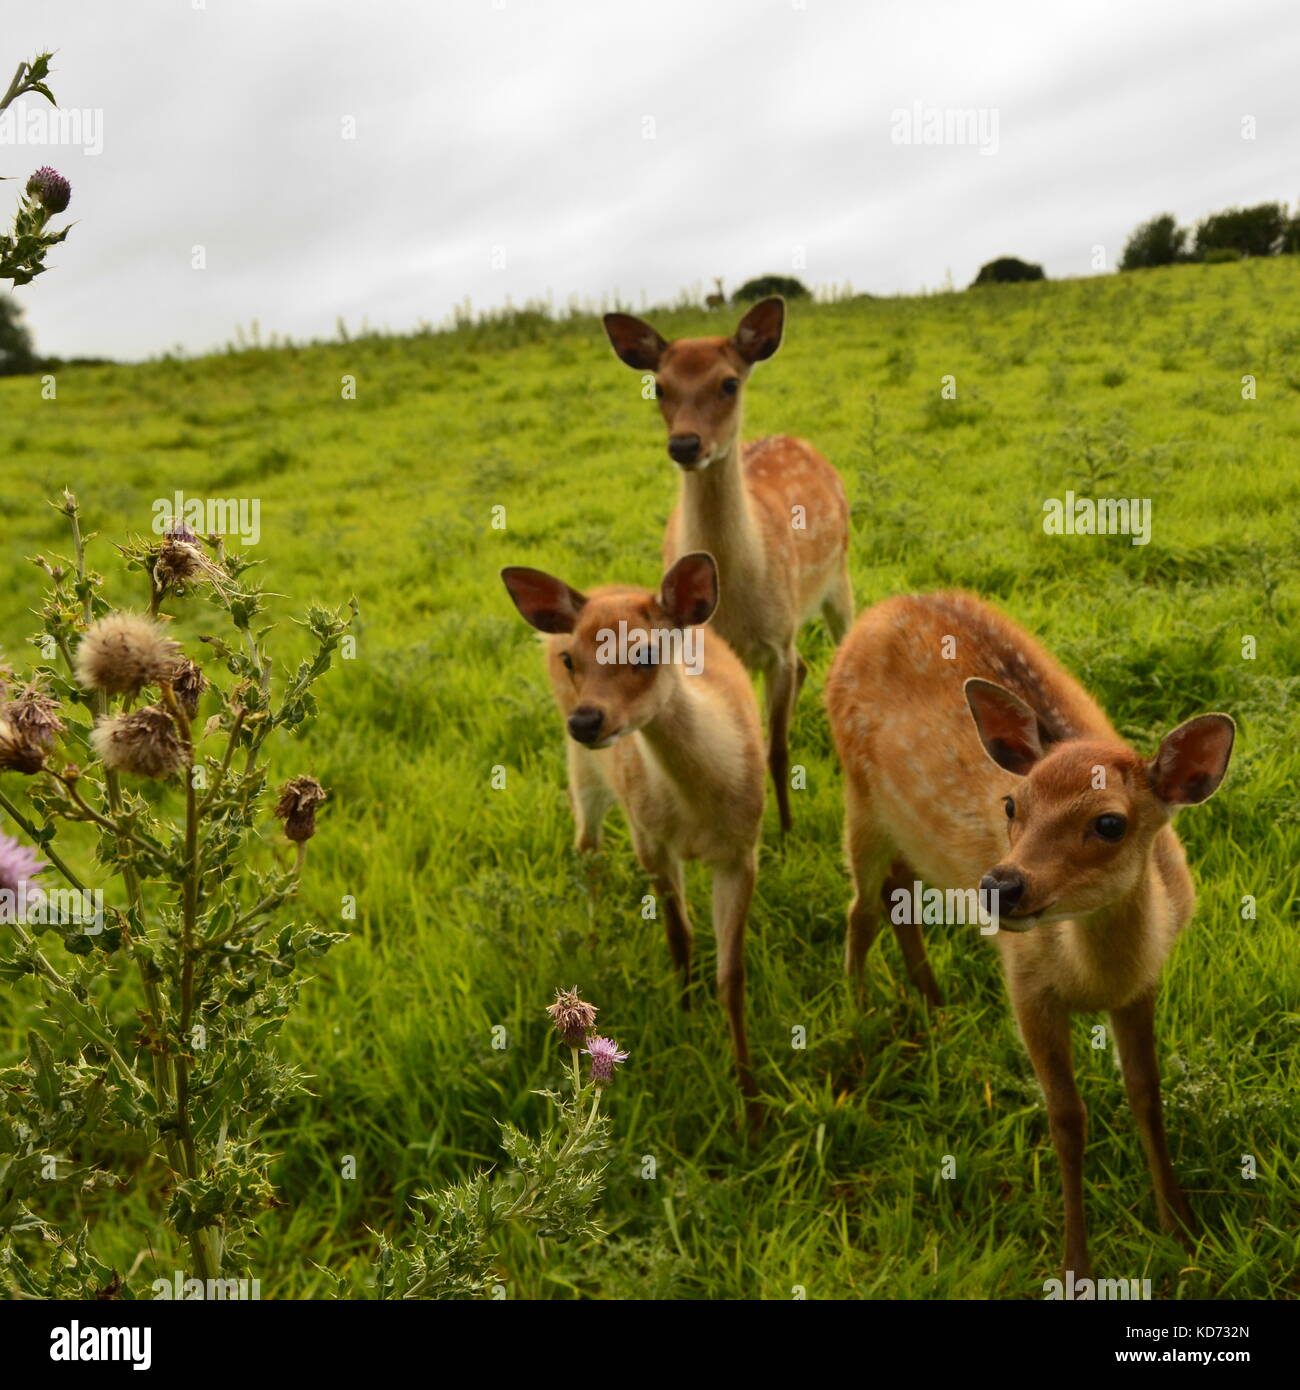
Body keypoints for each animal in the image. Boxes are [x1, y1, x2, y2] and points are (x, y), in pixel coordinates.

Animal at [500, 551, 766, 1126]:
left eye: (645, 651)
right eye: (570, 658)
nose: (585, 720)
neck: (698, 809)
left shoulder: (742, 851)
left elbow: (733, 977)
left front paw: (752, 1103)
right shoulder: (651, 839)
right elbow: (678, 935)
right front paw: (685, 1015)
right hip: (584, 772)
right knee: (589, 852)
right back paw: (594, 942)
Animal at [603, 296, 853, 834]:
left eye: (729, 383)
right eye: (659, 386)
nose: (685, 444)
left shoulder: (777, 641)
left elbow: (778, 751)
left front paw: (787, 830)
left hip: (838, 576)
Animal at [825, 590, 1235, 1280]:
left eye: (1109, 823)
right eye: (1013, 805)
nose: (1000, 885)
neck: (1095, 979)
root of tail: (882, 607)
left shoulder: (1143, 985)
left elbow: (1147, 1093)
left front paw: (1182, 1232)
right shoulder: (1025, 981)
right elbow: (1067, 1117)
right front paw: (1075, 1264)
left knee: (897, 892)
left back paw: (933, 1003)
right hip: (858, 793)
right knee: (861, 905)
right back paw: (857, 1015)